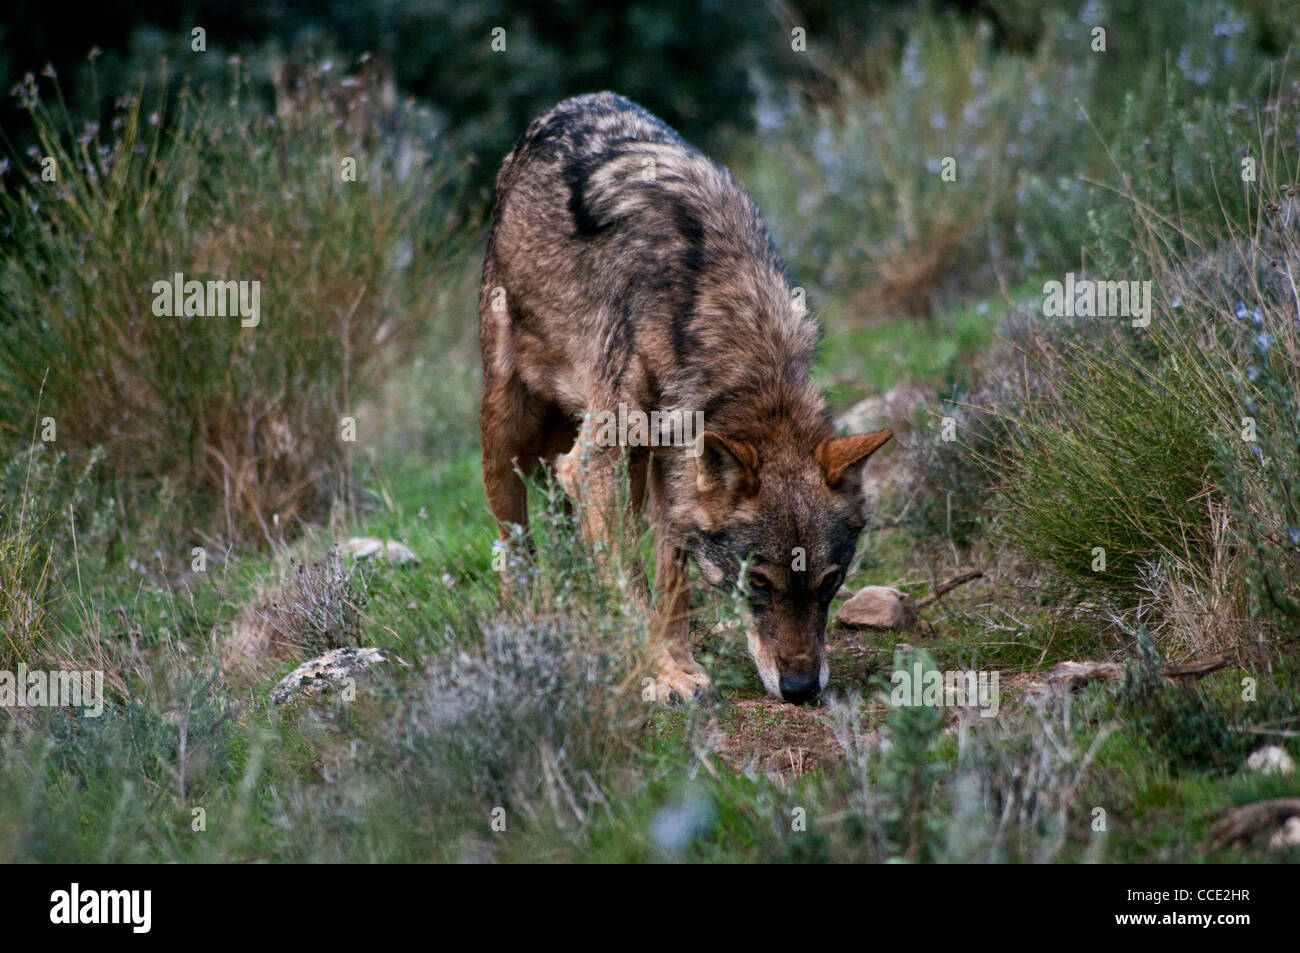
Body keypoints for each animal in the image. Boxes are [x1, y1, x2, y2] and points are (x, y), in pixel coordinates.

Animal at [479, 92, 891, 704]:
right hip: (508, 430)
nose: (800, 689)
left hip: (629, 465)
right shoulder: (596, 463)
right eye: (757, 582)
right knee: (518, 552)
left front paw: (676, 663)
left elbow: (671, 582)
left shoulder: (672, 468)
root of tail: (568, 105)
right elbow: (631, 580)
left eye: (831, 583)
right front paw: (659, 672)